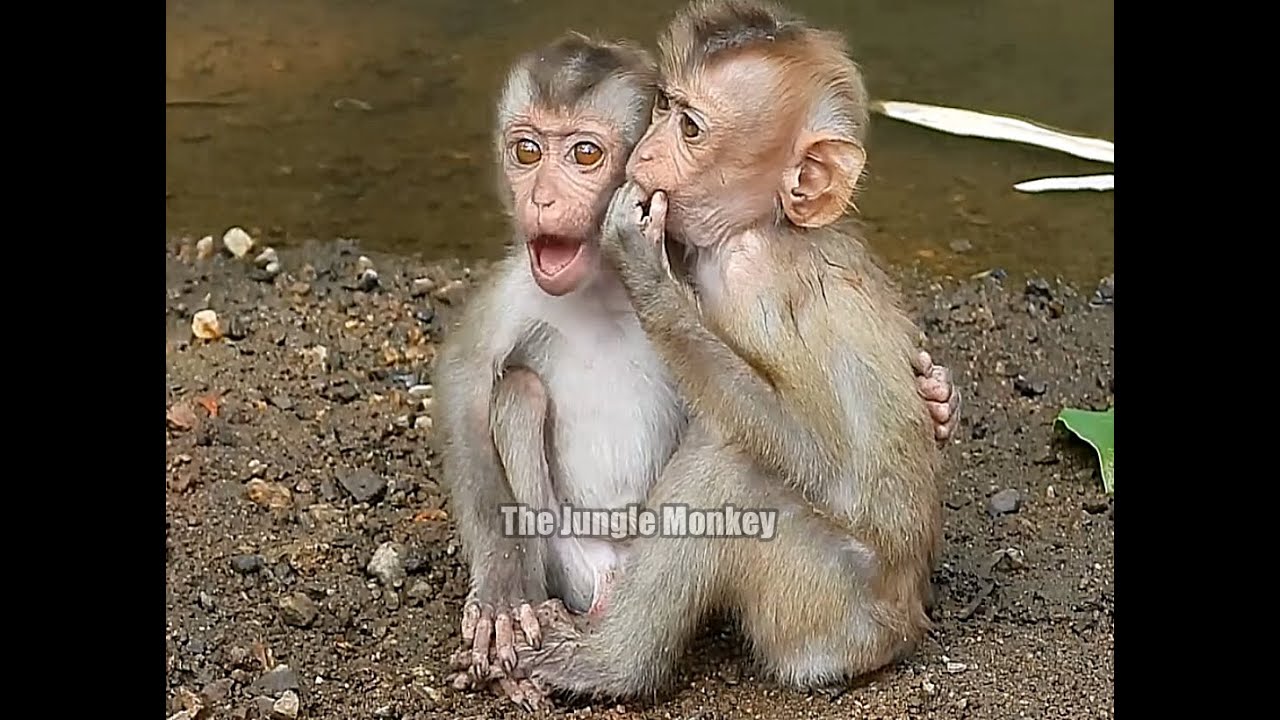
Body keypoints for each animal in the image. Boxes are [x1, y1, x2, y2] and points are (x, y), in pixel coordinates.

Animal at [437, 22, 961, 709]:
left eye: (584, 155)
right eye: (526, 151)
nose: (543, 199)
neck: (599, 288)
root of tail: (906, 621)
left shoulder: (745, 278)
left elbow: (831, 462)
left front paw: (649, 278)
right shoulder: (518, 285)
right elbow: (466, 384)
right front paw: (500, 591)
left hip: (825, 615)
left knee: (731, 460)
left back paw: (609, 664)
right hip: (578, 559)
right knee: (518, 392)